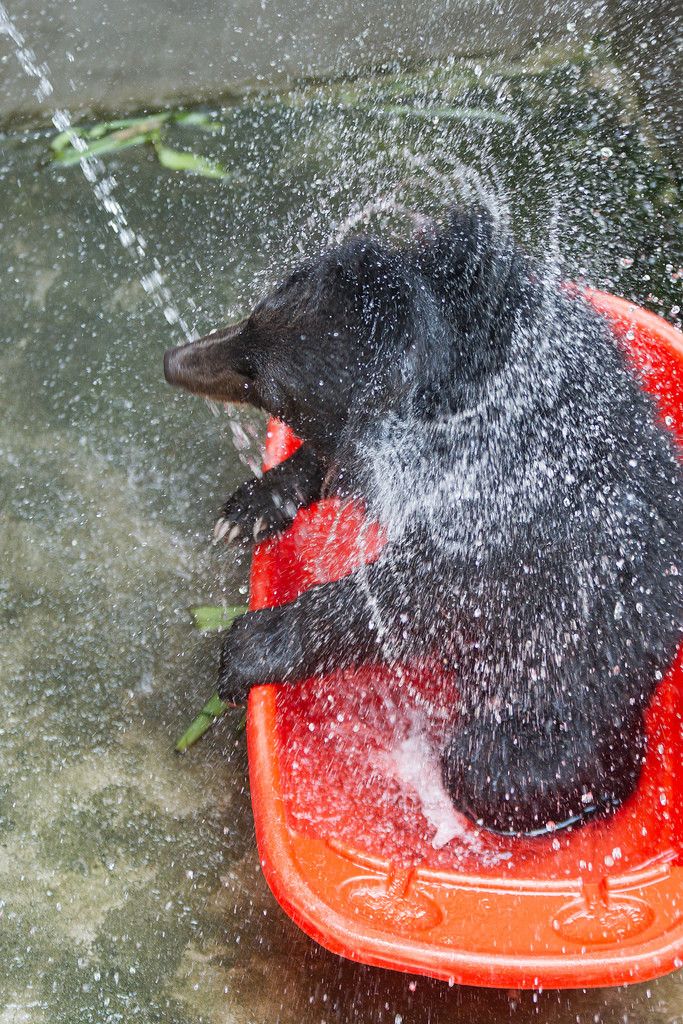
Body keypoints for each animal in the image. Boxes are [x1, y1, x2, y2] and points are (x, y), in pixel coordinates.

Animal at [164, 207, 682, 836]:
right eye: (252, 318)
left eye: (260, 379)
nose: (172, 361)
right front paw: (251, 507)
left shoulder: (506, 523)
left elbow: (414, 596)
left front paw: (247, 648)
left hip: (562, 695)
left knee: (500, 768)